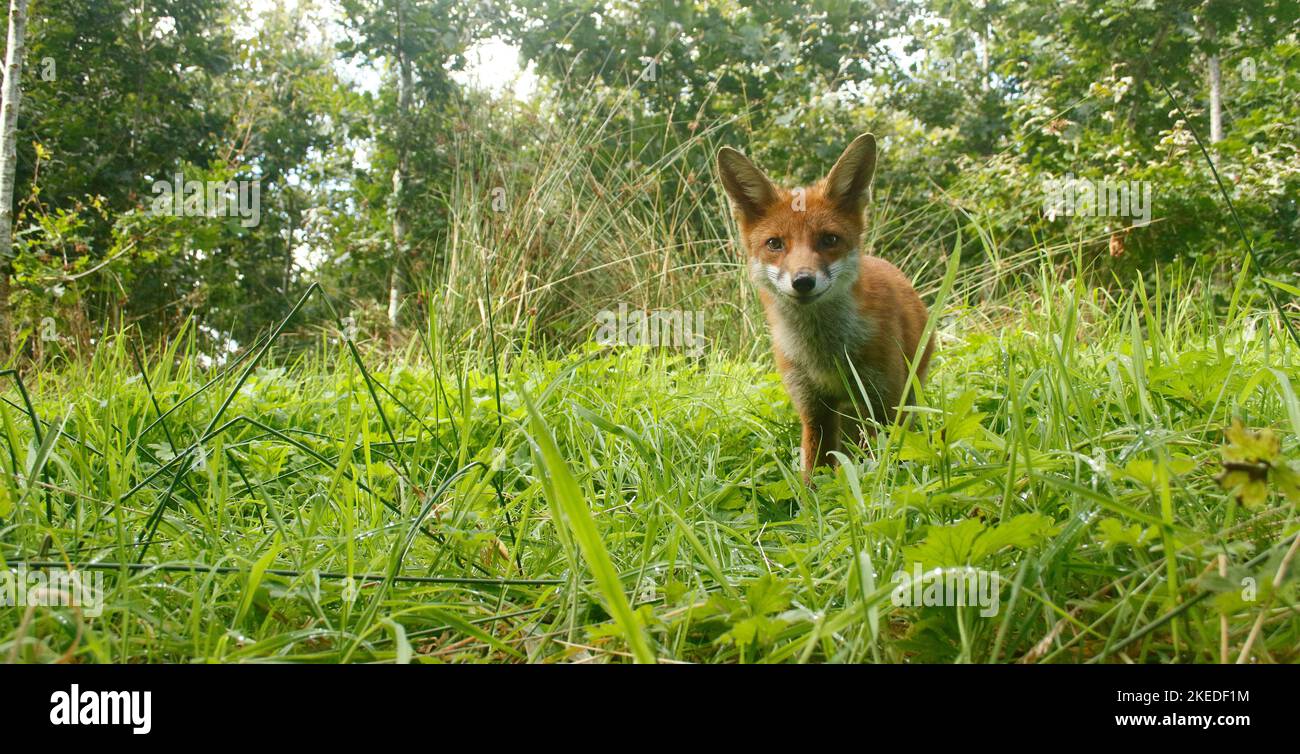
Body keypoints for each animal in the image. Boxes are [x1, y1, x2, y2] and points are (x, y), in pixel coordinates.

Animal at [717, 133, 934, 482]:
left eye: (829, 239)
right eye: (775, 244)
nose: (803, 281)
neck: (826, 356)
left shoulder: (883, 403)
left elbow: (884, 467)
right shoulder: (813, 410)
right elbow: (813, 474)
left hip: (904, 396)